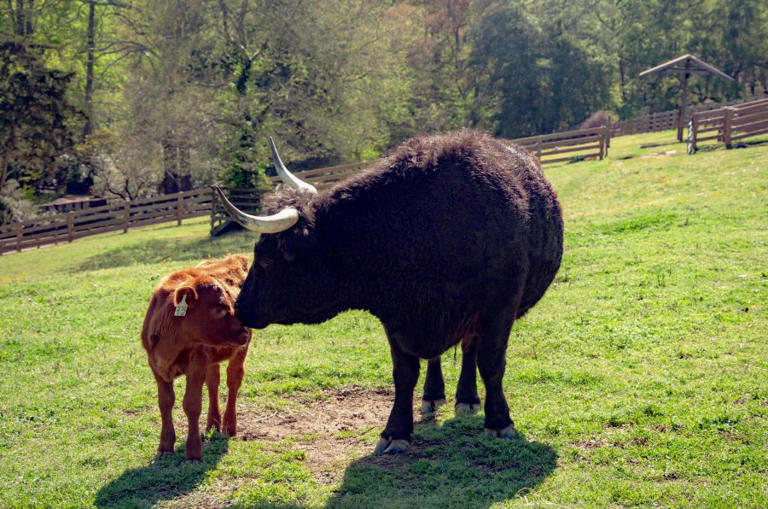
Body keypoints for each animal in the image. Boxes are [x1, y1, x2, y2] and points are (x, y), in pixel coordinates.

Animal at [140, 254, 252, 460]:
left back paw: (229, 426)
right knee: (213, 382)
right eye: (219, 308)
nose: (244, 332)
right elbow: (165, 402)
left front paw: (193, 452)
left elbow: (192, 404)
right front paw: (165, 446)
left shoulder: (196, 364)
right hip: (212, 357)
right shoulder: (155, 366)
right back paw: (212, 424)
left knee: (233, 379)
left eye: (229, 304)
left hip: (239, 351)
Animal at [216, 130, 563, 454]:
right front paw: (396, 431)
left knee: (469, 350)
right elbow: (404, 374)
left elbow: (490, 363)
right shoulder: (397, 315)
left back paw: (467, 397)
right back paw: (434, 394)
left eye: (267, 259)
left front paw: (500, 421)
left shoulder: (498, 308)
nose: (240, 307)